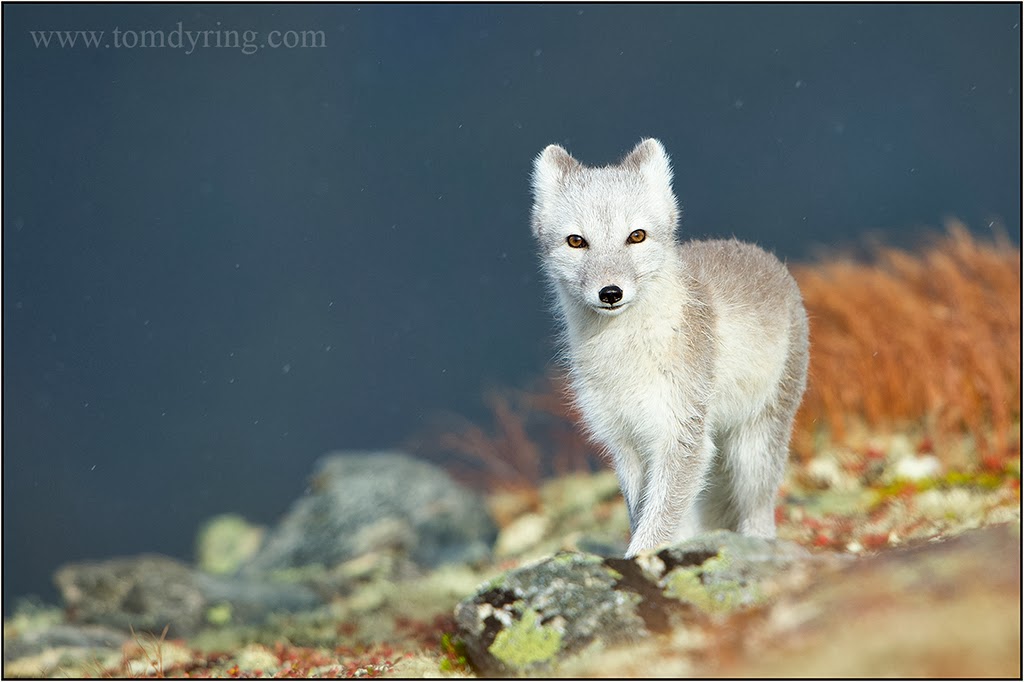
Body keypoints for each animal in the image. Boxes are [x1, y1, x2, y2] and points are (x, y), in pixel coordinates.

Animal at [530, 138, 809, 557]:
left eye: (636, 236)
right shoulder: (625, 442)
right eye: (576, 241)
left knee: (759, 511)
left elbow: (657, 522)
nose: (610, 293)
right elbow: (644, 514)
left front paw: (638, 560)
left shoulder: (682, 435)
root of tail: (759, 252)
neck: (624, 355)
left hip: (755, 443)